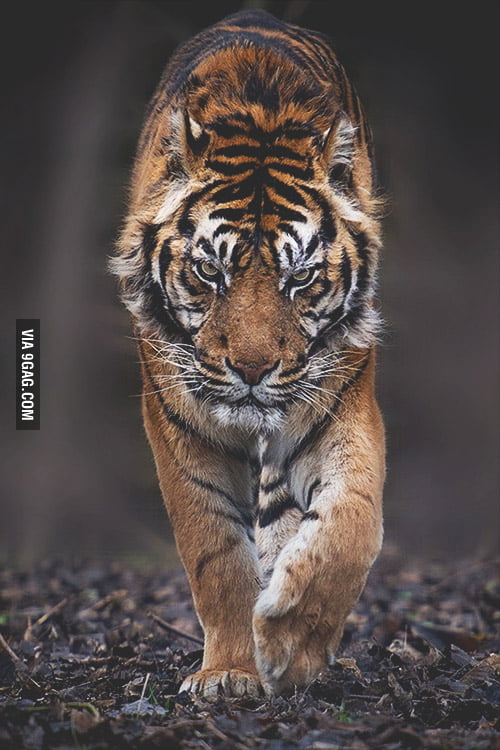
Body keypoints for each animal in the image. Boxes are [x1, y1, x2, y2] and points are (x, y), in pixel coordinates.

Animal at [112, 9, 385, 698]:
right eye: (210, 272)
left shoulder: (338, 403)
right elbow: (216, 554)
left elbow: (350, 524)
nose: (254, 370)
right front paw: (232, 671)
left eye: (300, 278)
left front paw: (291, 644)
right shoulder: (180, 423)